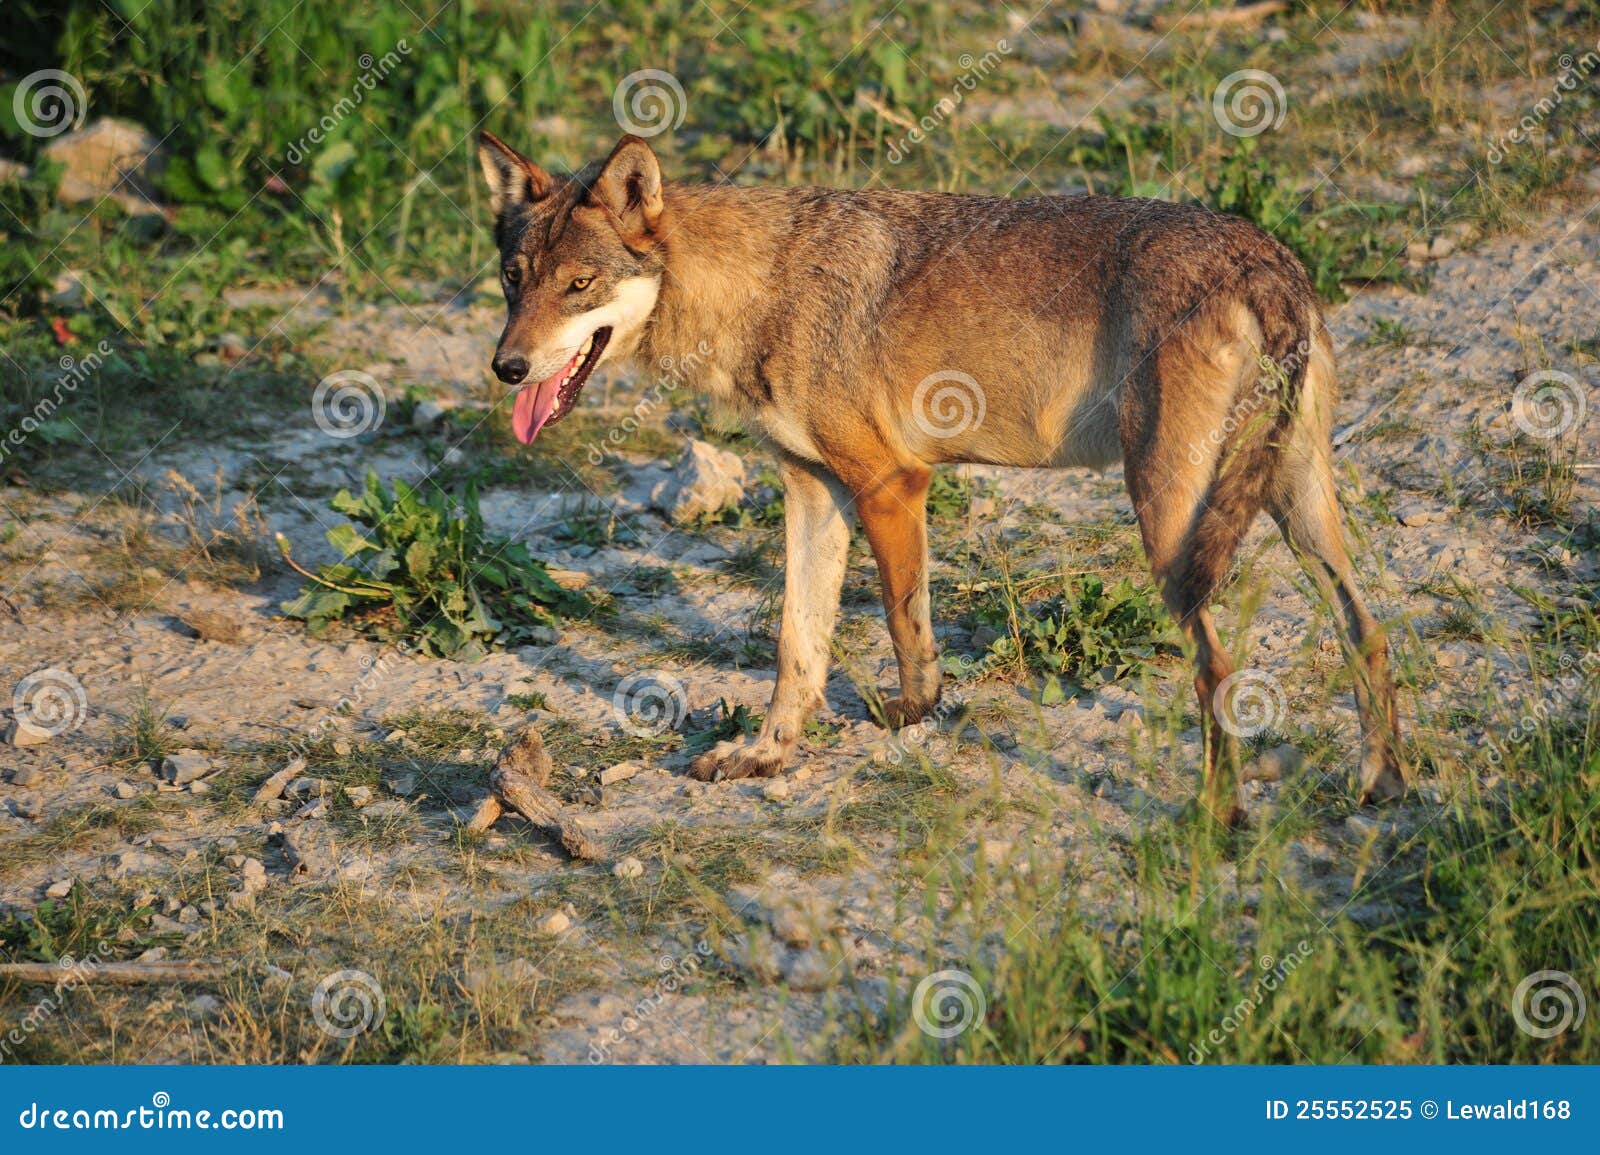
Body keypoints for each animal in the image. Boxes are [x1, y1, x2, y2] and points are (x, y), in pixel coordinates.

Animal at [477, 130, 1405, 823]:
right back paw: (1383, 785)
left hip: (1169, 524)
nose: (507, 368)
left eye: (580, 284)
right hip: (1293, 507)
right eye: (514, 282)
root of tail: (1266, 260)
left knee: (1218, 665)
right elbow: (797, 646)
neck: (756, 286)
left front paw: (917, 711)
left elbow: (901, 623)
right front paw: (766, 756)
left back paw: (1217, 818)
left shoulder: (893, 482)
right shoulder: (813, 491)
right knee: (1367, 629)